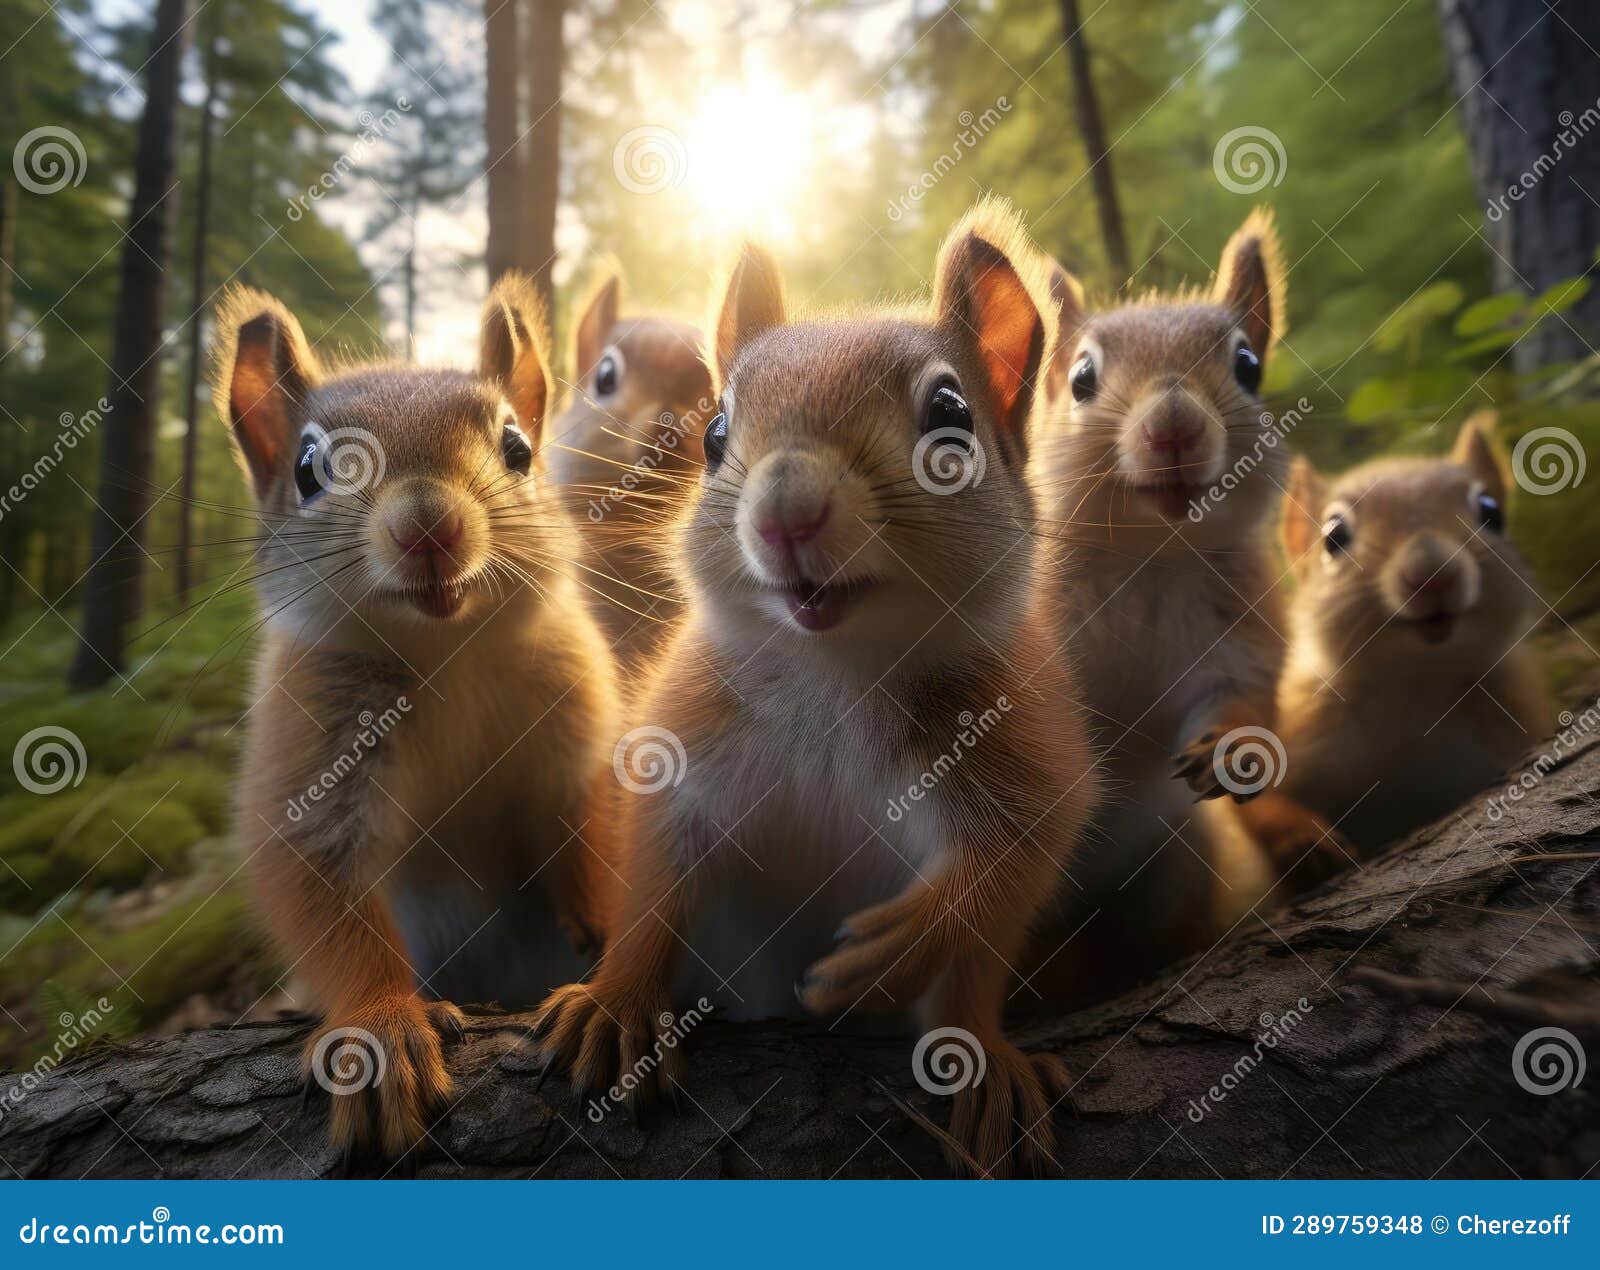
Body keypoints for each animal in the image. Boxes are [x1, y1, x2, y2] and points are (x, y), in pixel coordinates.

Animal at [213, 275, 622, 1159]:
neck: (447, 656)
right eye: (307, 469)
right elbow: (319, 888)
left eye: (517, 448)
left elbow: (593, 823)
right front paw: (381, 1029)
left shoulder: (579, 725)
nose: (429, 525)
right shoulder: (312, 754)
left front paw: (607, 962)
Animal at [1023, 210, 1314, 999]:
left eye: (1248, 366)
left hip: (1178, 866)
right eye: (1080, 378)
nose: (1176, 427)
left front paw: (1227, 748)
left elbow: (1243, 699)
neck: (1152, 556)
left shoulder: (1243, 632)